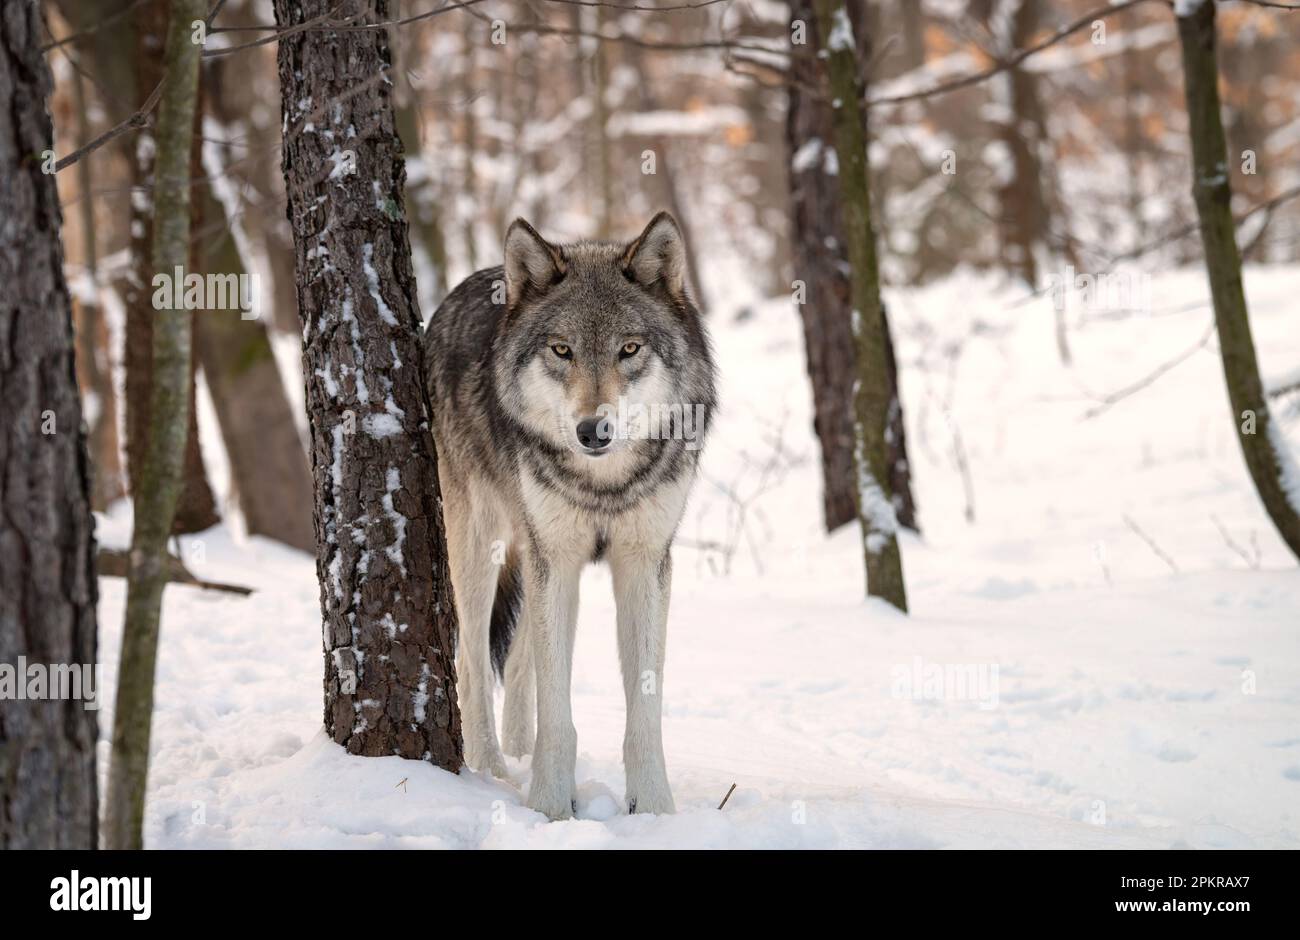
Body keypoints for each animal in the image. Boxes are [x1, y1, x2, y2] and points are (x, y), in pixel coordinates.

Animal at [422, 212, 716, 819]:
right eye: (561, 350)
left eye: (629, 348)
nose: (592, 430)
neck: (603, 484)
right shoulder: (553, 559)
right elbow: (556, 709)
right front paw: (551, 809)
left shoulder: (642, 562)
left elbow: (644, 708)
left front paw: (654, 810)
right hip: (481, 549)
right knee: (470, 663)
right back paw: (489, 768)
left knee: (516, 662)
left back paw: (516, 751)